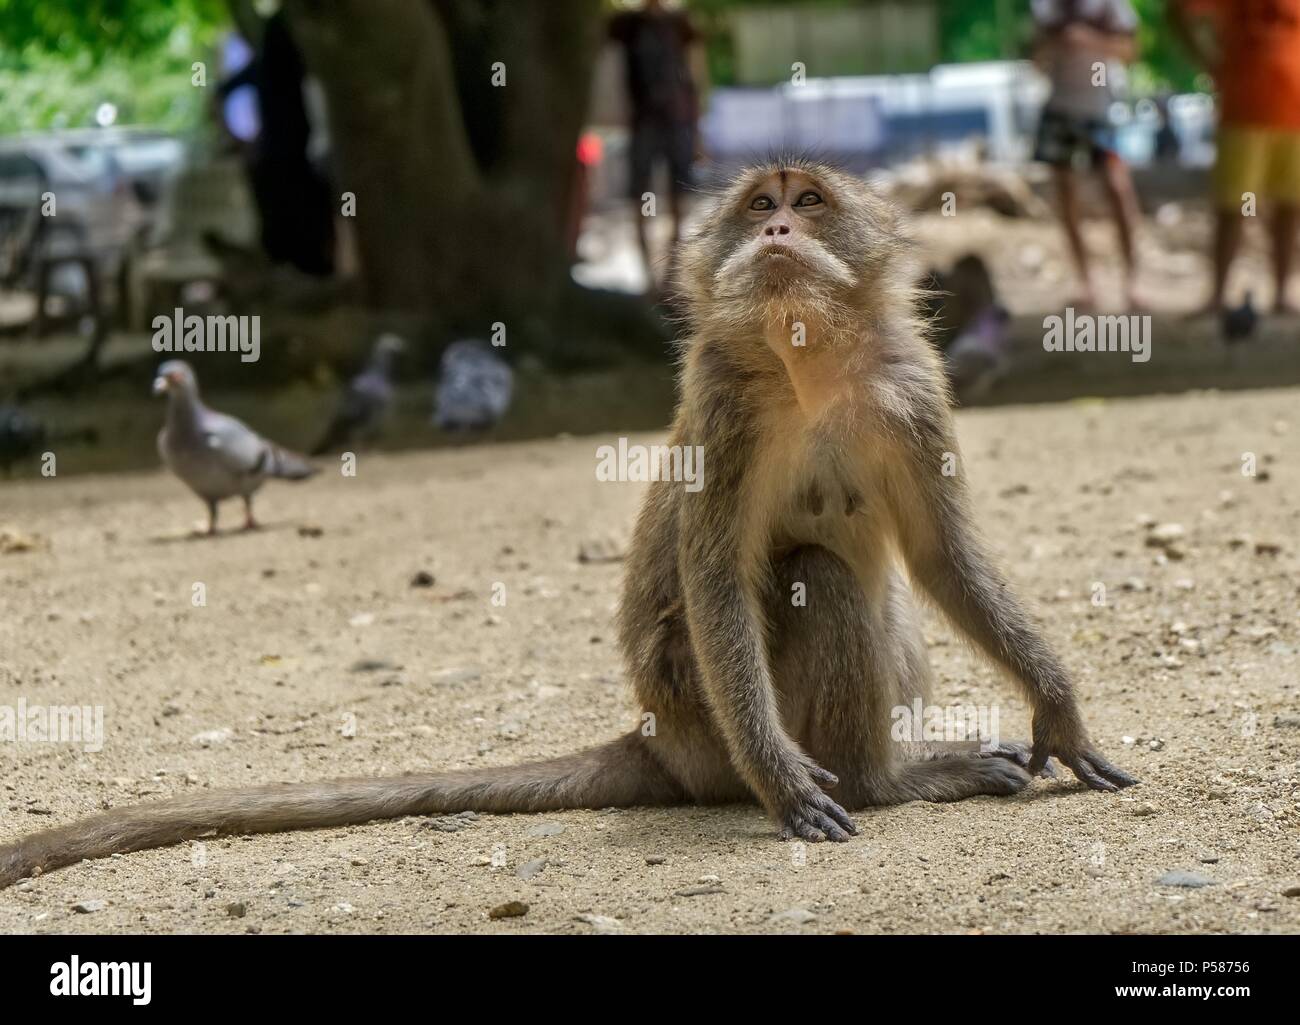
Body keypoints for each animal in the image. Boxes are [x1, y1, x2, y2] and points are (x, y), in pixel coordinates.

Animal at [0, 158, 1135, 889]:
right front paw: (785, 780)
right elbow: (718, 578)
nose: (776, 230)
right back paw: (886, 779)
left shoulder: (911, 390)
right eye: (759, 207)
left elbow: (942, 554)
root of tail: (657, 739)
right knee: (818, 572)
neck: (806, 358)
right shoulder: (723, 403)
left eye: (809, 205)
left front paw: (1058, 705)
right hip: (702, 725)